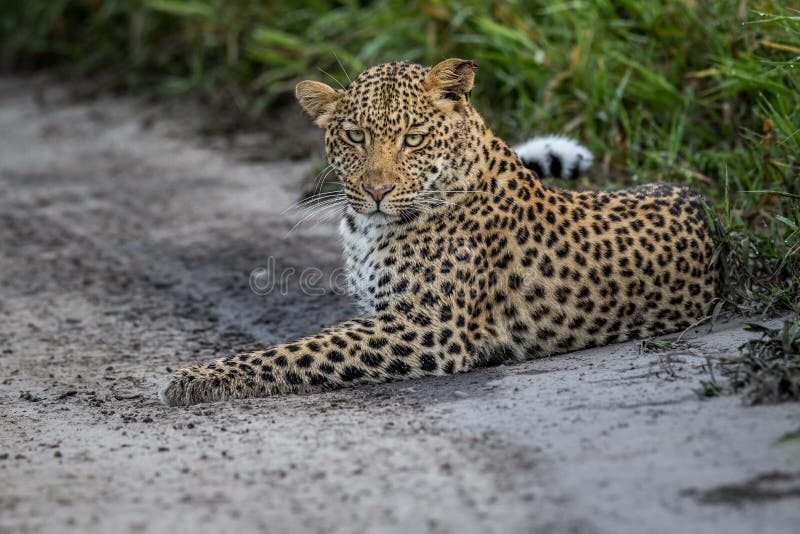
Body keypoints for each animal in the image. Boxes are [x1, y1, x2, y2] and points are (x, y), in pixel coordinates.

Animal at [160, 59, 722, 406]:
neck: (365, 229)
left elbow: (301, 350)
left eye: (413, 139)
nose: (377, 190)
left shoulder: (425, 327)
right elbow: (309, 342)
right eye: (355, 136)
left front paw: (195, 377)